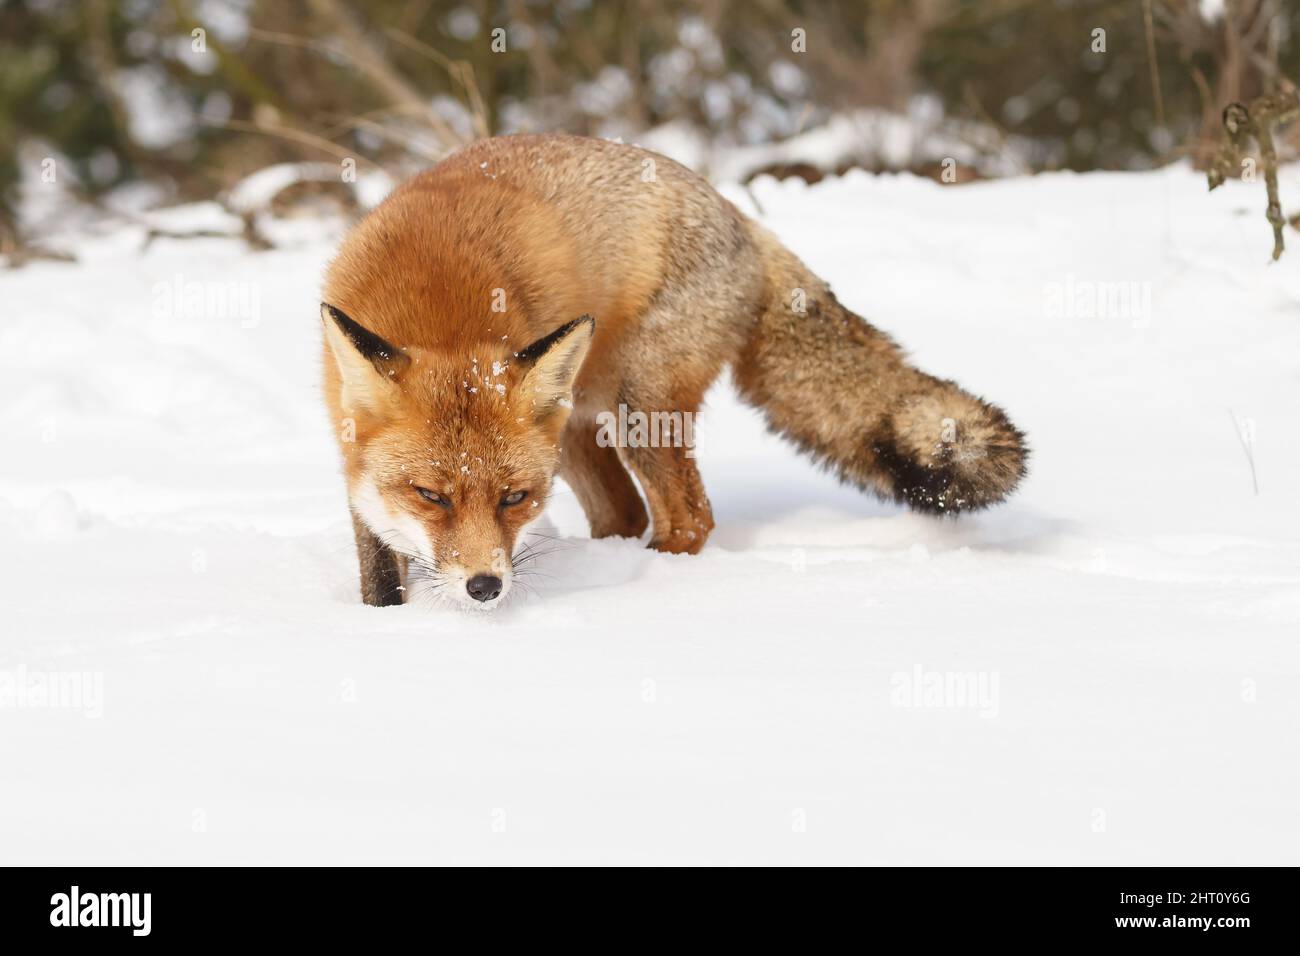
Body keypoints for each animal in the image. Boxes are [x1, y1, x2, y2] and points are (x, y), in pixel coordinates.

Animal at [320, 134, 1027, 610]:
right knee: (626, 513)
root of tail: (743, 220)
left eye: (514, 498)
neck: (436, 308)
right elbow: (377, 568)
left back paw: (655, 584)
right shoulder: (348, 445)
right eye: (430, 495)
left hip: (640, 409)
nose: (486, 587)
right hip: (577, 426)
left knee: (690, 519)